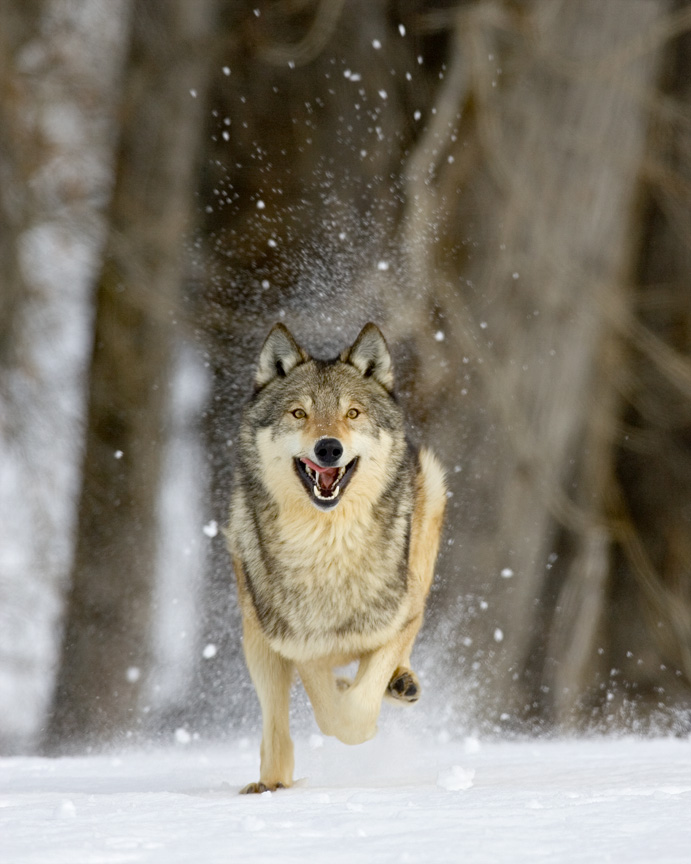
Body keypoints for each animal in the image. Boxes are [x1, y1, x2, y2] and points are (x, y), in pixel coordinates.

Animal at [227, 322, 446, 793]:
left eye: (353, 414)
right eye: (298, 414)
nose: (328, 448)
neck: (329, 545)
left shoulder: (399, 616)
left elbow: (358, 711)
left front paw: (372, 691)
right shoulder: (300, 641)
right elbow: (333, 717)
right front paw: (346, 695)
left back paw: (400, 682)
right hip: (257, 639)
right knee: (276, 724)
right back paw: (270, 785)